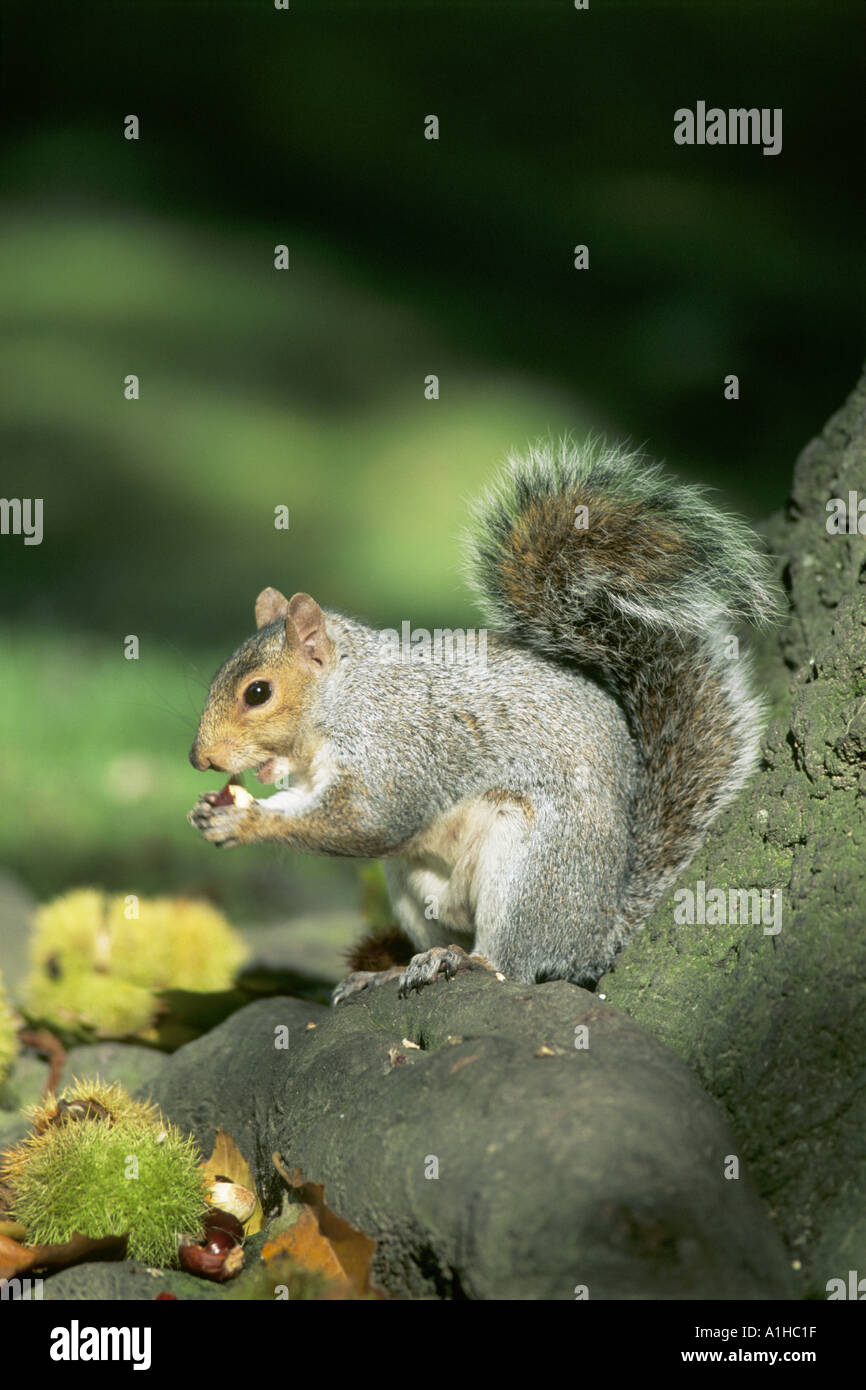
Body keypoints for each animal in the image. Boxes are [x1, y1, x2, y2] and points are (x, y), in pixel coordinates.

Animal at [188, 439, 778, 1001]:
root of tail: (600, 932)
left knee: (512, 965)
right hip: (412, 888)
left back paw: (466, 962)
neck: (344, 698)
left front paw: (243, 822)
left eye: (258, 692)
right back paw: (396, 968)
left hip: (531, 871)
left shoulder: (395, 746)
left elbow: (368, 821)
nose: (200, 758)